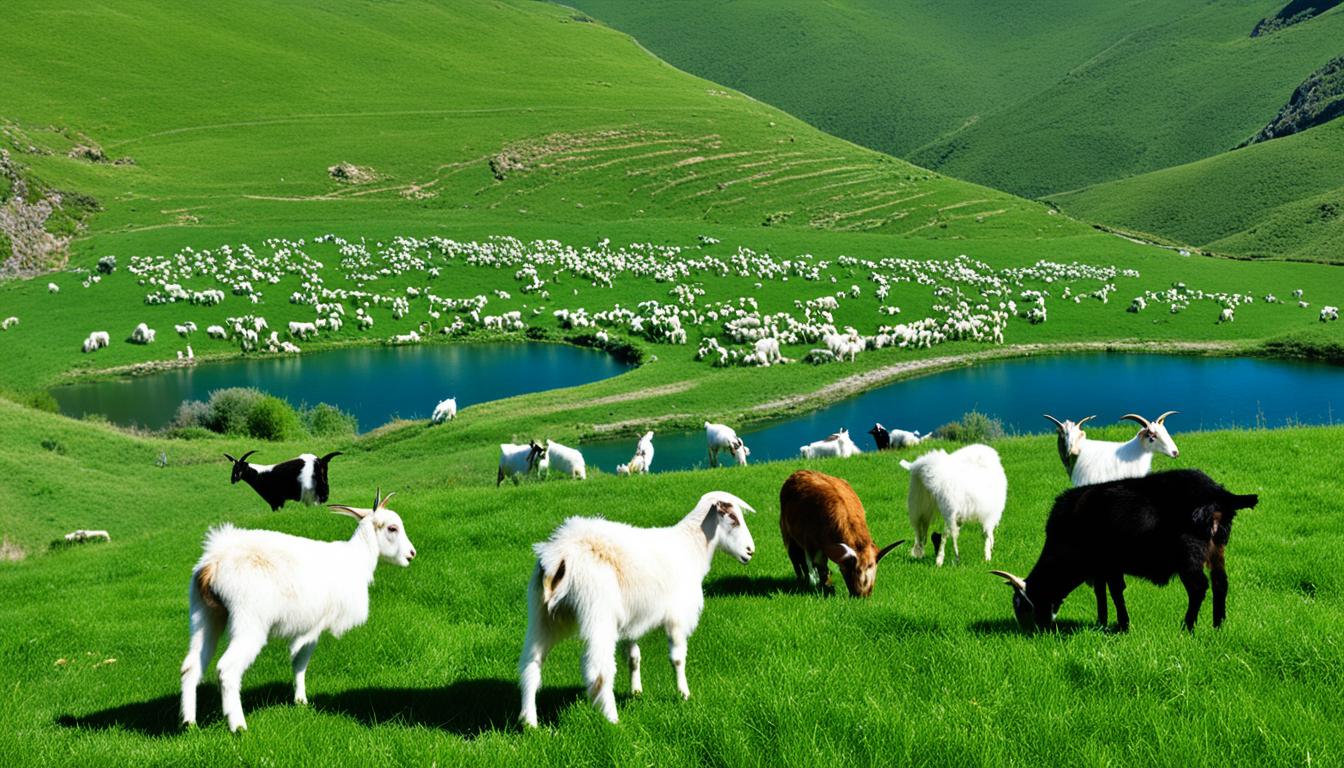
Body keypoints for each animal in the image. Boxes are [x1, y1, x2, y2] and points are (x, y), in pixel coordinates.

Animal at [181, 489, 415, 732]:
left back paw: (189, 723)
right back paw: (238, 726)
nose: (411, 554)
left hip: (204, 614)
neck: (355, 559)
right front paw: (301, 701)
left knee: (191, 666)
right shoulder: (315, 625)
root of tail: (213, 564)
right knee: (226, 669)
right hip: (248, 620)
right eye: (392, 528)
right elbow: (300, 660)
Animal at [519, 491, 756, 726]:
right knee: (599, 671)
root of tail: (560, 555)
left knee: (531, 663)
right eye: (732, 518)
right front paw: (684, 694)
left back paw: (529, 722)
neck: (692, 548)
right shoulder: (677, 618)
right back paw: (612, 720)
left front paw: (636, 692)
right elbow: (677, 659)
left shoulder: (630, 622)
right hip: (598, 614)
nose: (750, 551)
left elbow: (633, 657)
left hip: (542, 615)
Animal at [990, 469, 1258, 633]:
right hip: (1216, 547)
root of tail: (1218, 492)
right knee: (1221, 583)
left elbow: (1116, 592)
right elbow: (1101, 593)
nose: (1031, 632)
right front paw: (1101, 622)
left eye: (1023, 606)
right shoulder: (1099, 569)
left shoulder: (1109, 564)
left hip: (1189, 553)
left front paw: (1122, 625)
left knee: (1198, 588)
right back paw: (1217, 626)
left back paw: (1187, 627)